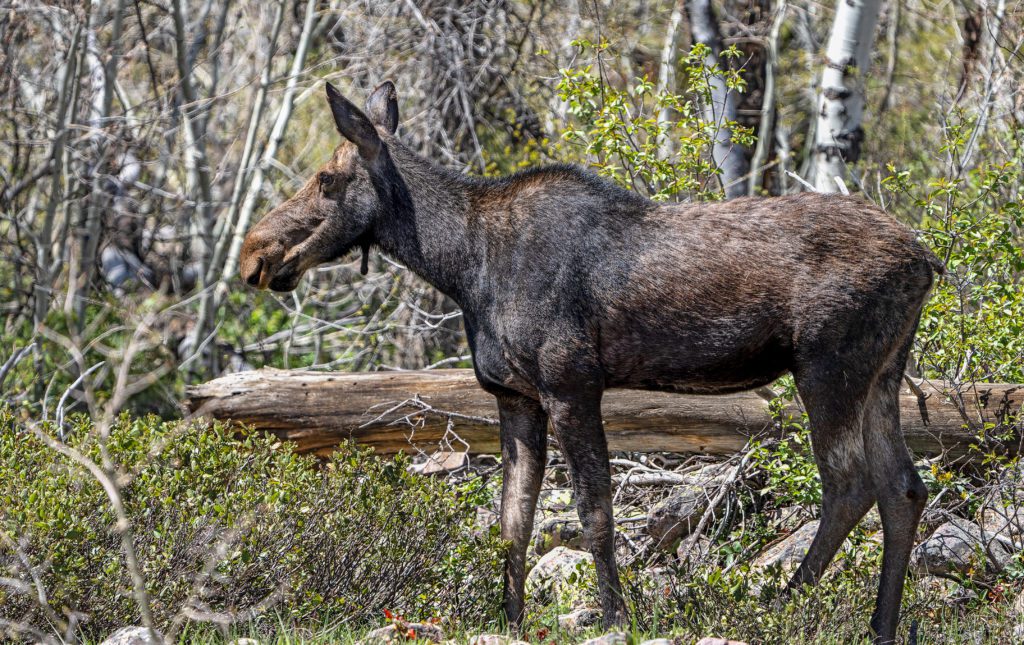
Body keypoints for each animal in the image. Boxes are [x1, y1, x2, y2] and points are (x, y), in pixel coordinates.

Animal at [239, 81, 941, 644]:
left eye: (326, 181)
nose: (254, 255)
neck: (461, 266)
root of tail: (928, 259)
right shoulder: (515, 397)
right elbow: (513, 520)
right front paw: (510, 618)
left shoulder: (571, 385)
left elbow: (593, 513)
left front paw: (615, 616)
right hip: (882, 373)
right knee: (904, 486)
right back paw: (881, 625)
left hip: (827, 368)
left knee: (849, 484)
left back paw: (779, 605)